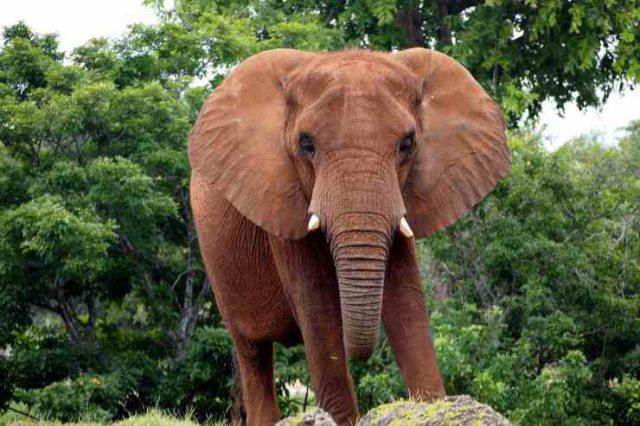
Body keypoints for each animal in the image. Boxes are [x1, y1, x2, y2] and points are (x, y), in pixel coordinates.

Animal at [188, 48, 510, 425]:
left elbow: (406, 302)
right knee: (252, 352)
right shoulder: (282, 201)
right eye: (306, 144)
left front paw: (433, 407)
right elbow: (318, 310)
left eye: (407, 144)